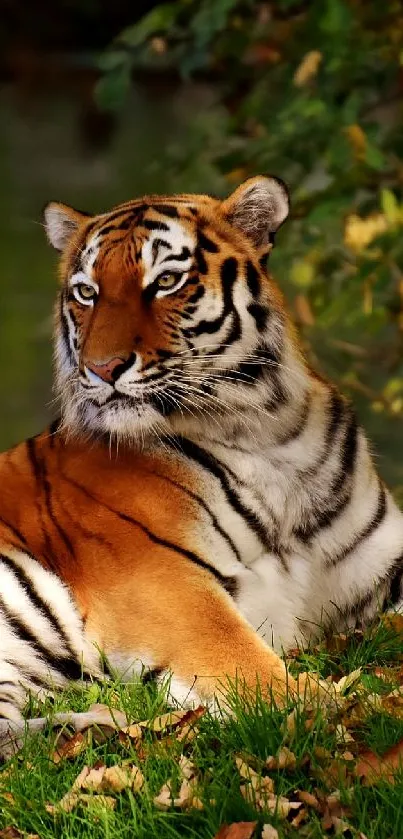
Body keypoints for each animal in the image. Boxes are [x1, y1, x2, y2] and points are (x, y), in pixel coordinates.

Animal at [1, 175, 403, 747]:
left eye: (166, 281)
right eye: (86, 292)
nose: (101, 369)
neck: (270, 430)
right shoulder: (162, 585)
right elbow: (251, 667)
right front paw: (337, 708)